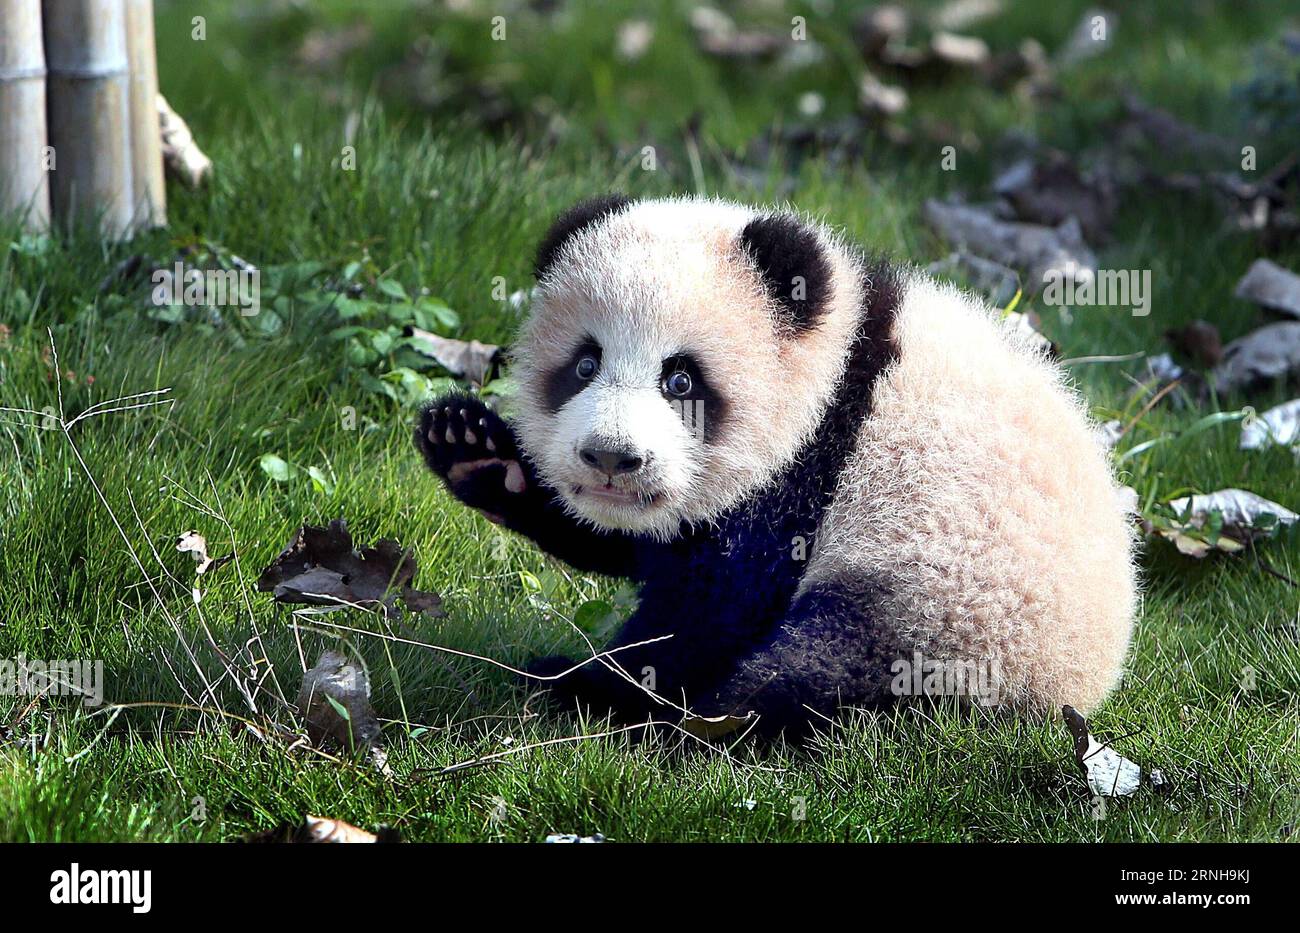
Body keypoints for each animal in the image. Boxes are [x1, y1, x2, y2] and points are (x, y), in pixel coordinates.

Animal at [416, 195, 1137, 737]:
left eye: (681, 379)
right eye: (585, 363)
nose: (612, 458)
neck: (836, 358)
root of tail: (1074, 693)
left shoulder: (806, 480)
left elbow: (711, 609)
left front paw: (591, 682)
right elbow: (639, 543)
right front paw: (475, 450)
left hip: (952, 613)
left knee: (818, 671)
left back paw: (675, 718)